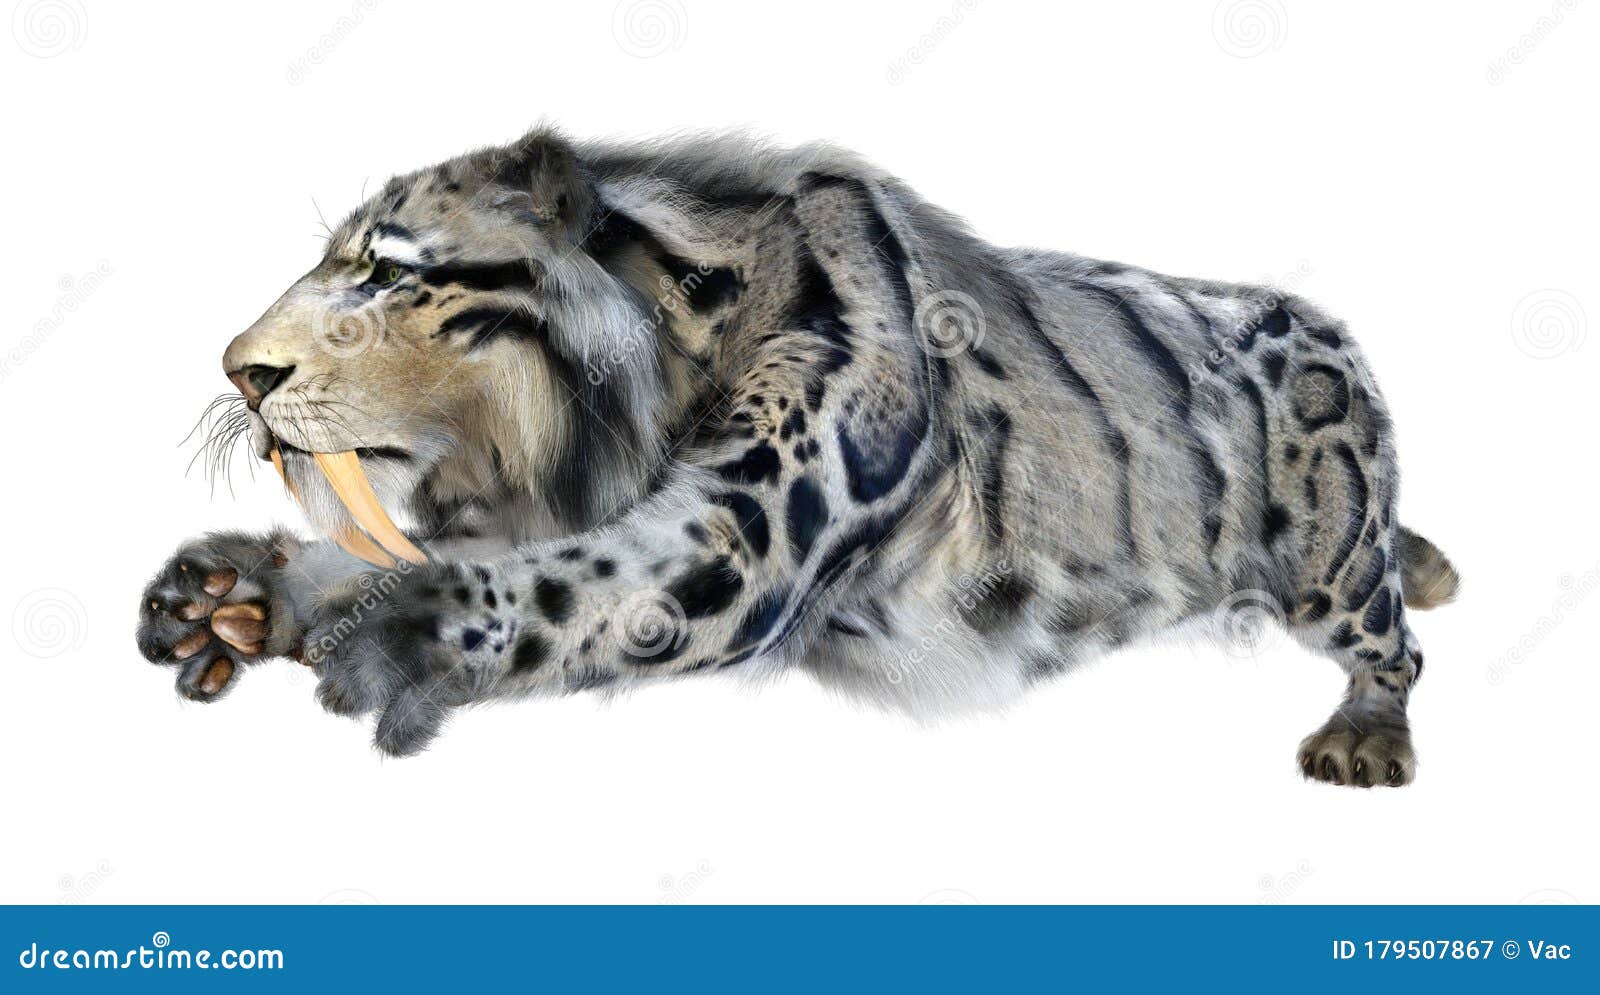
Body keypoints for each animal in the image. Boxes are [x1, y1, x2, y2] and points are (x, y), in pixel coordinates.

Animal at [136, 127, 1459, 784]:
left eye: (388, 272)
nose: (237, 371)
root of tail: (1335, 334)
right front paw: (235, 594)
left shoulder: (742, 526)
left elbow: (568, 583)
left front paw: (396, 634)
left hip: (1334, 559)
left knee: (1398, 640)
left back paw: (1364, 739)